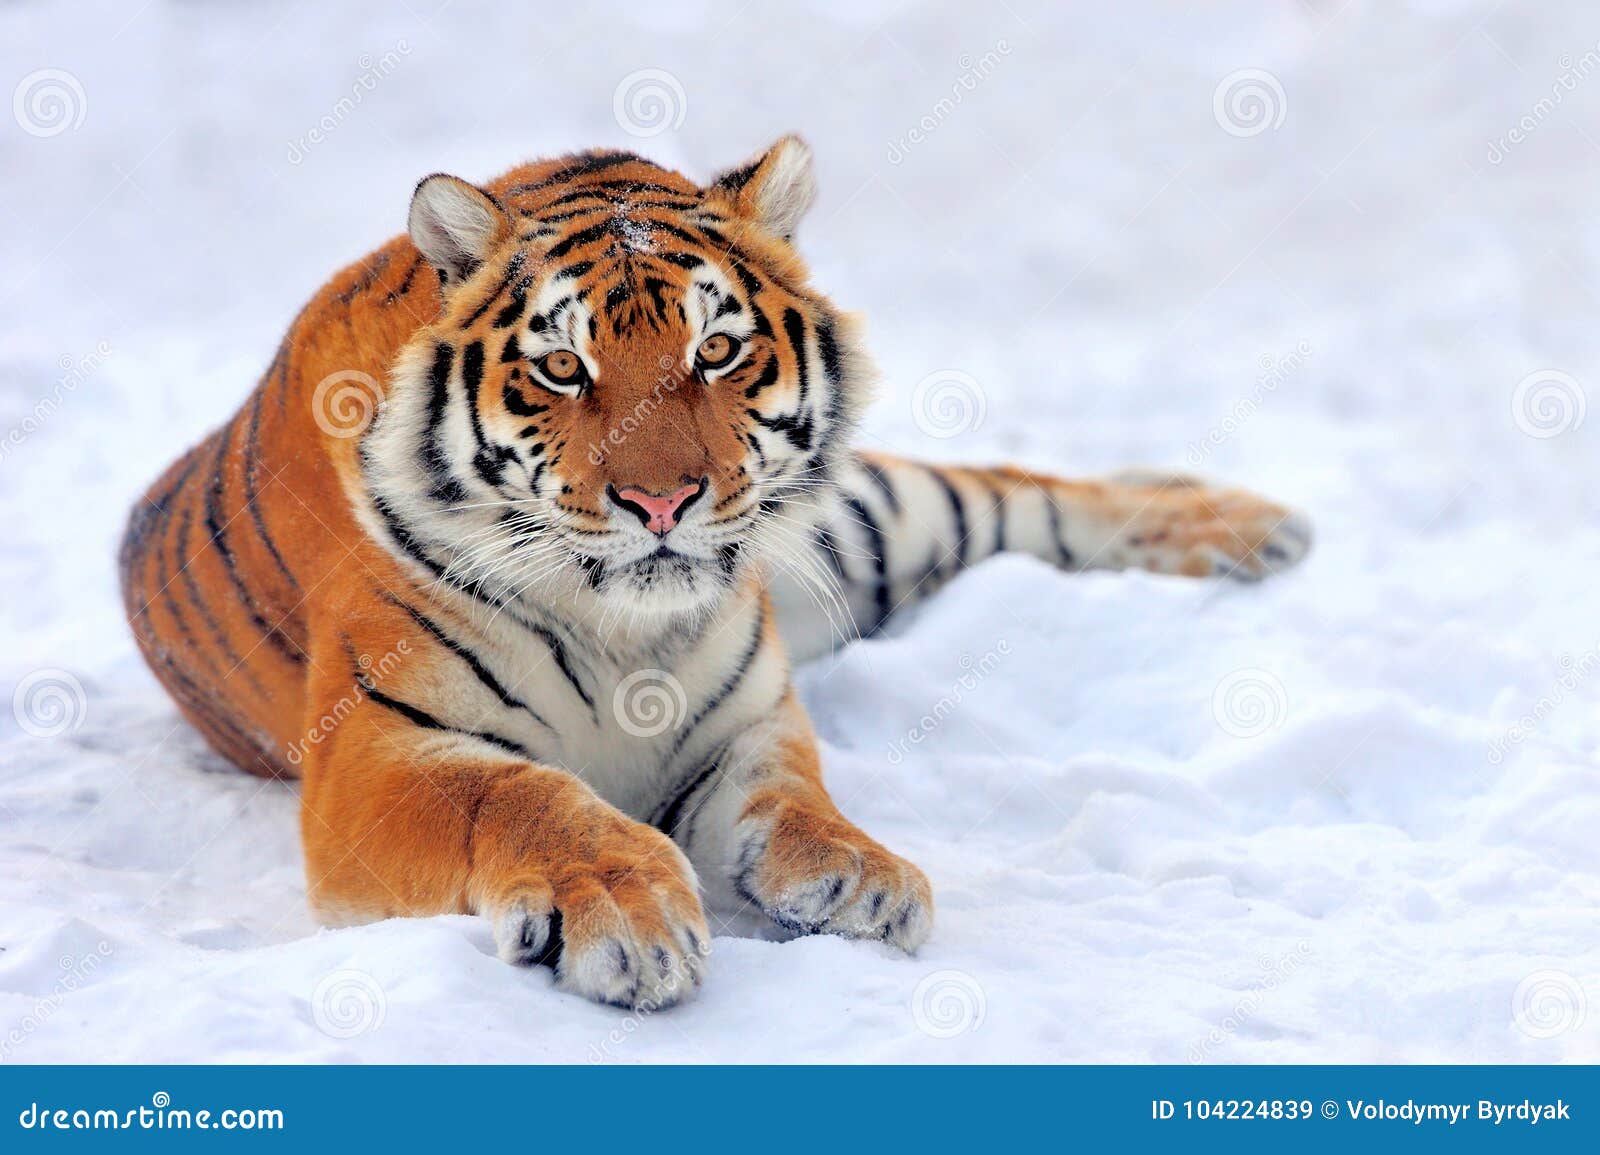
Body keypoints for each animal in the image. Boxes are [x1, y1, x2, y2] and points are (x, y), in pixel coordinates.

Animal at [118, 136, 1311, 1010]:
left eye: (718, 351)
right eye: (564, 366)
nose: (661, 502)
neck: (621, 635)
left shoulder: (747, 715)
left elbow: (794, 795)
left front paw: (862, 876)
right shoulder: (375, 752)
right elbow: (522, 794)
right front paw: (627, 910)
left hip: (865, 524)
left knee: (1018, 489)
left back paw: (1249, 525)